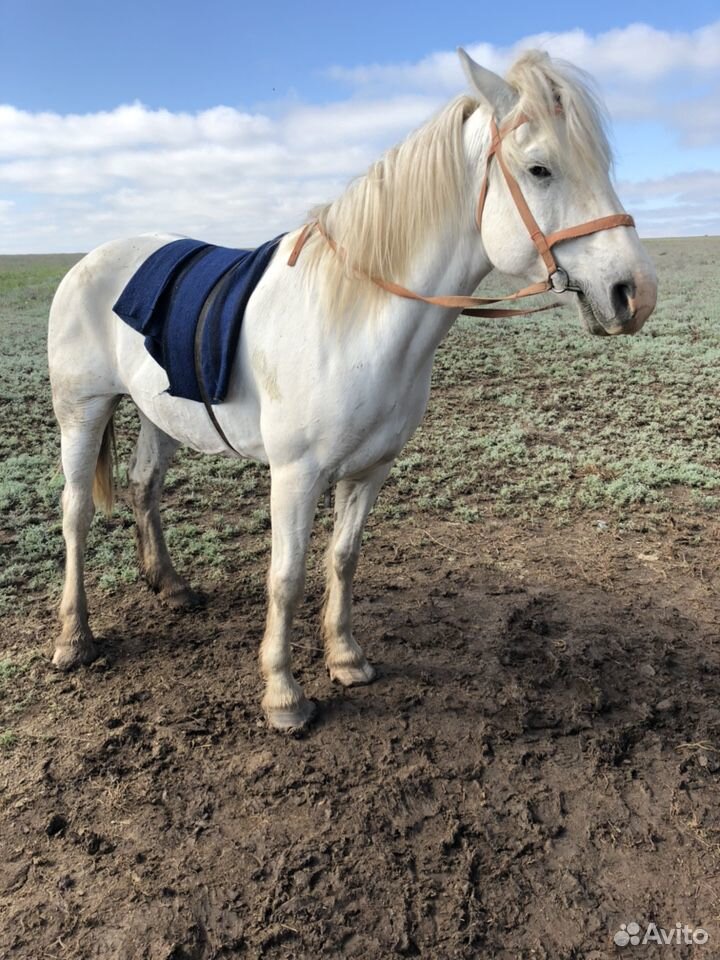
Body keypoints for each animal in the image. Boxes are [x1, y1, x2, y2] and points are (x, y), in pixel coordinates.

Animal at [48, 48, 657, 730]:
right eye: (540, 169)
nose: (634, 292)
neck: (357, 319)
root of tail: (88, 260)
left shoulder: (370, 468)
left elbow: (343, 557)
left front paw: (345, 658)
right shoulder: (295, 474)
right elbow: (286, 576)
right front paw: (283, 695)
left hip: (161, 415)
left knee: (144, 486)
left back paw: (172, 587)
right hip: (82, 411)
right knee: (75, 512)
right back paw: (75, 639)